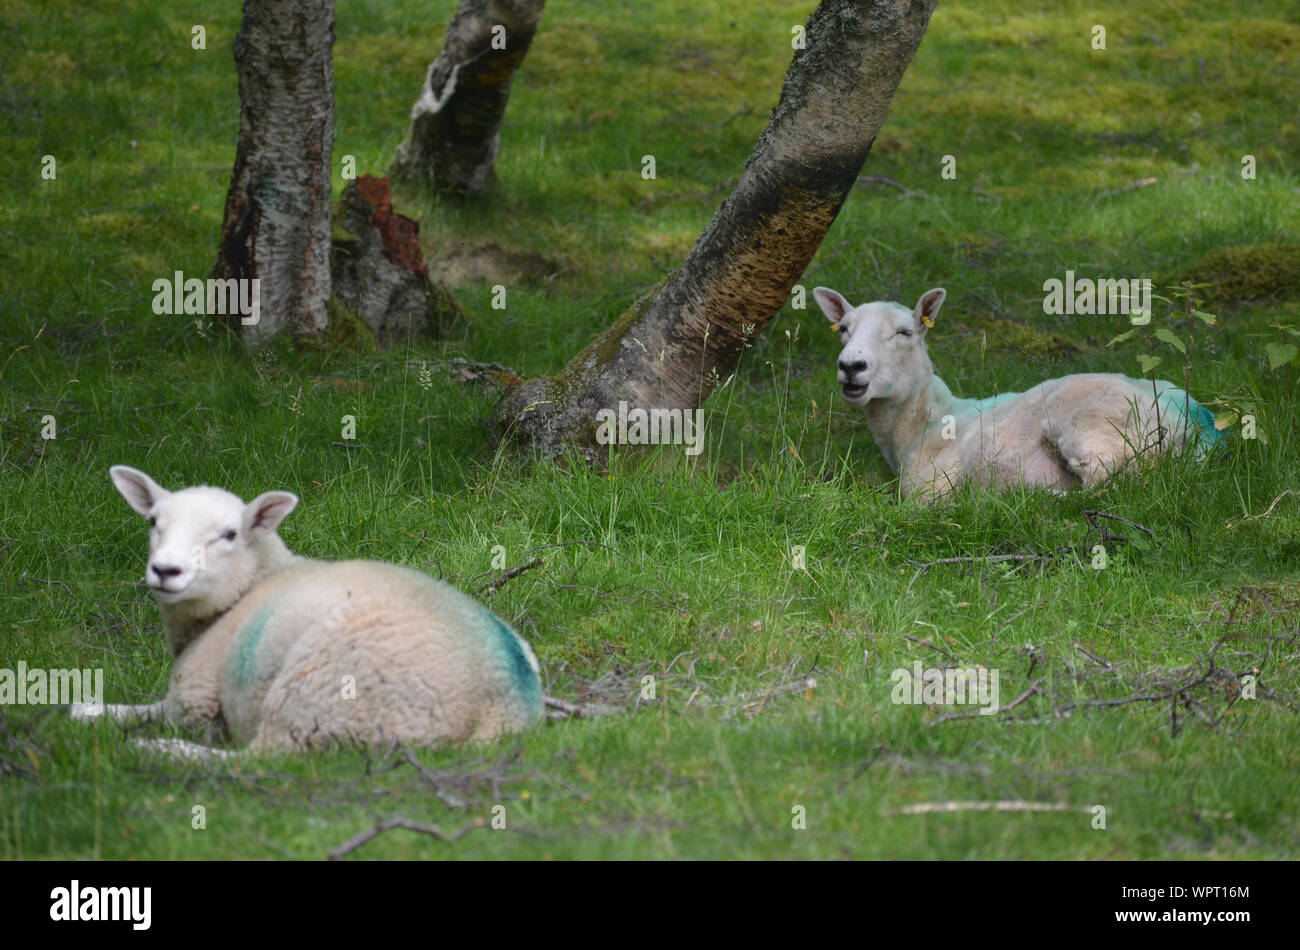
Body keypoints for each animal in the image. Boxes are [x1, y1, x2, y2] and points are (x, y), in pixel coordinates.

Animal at [70, 466, 544, 759]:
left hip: (318, 699)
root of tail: (503, 706)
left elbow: (134, 711)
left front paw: (95, 716)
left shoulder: (194, 698)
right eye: (152, 521)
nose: (166, 570)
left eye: (230, 534)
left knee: (259, 759)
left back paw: (159, 751)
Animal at [814, 286, 1222, 500]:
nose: (851, 365)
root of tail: (1195, 422)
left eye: (904, 332)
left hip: (1098, 433)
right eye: (843, 328)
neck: (922, 423)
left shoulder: (928, 490)